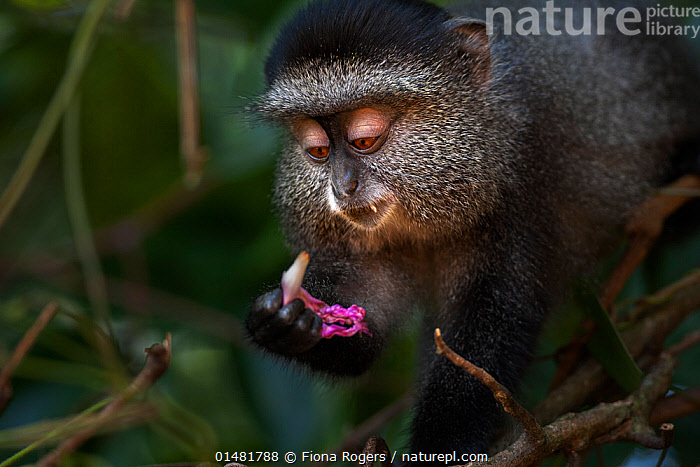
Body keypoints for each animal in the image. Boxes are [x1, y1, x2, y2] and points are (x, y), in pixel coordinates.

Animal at [245, 0, 700, 462]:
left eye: (365, 141)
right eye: (318, 150)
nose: (343, 187)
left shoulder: (518, 200)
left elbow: (492, 320)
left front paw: (442, 446)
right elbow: (368, 318)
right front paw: (288, 320)